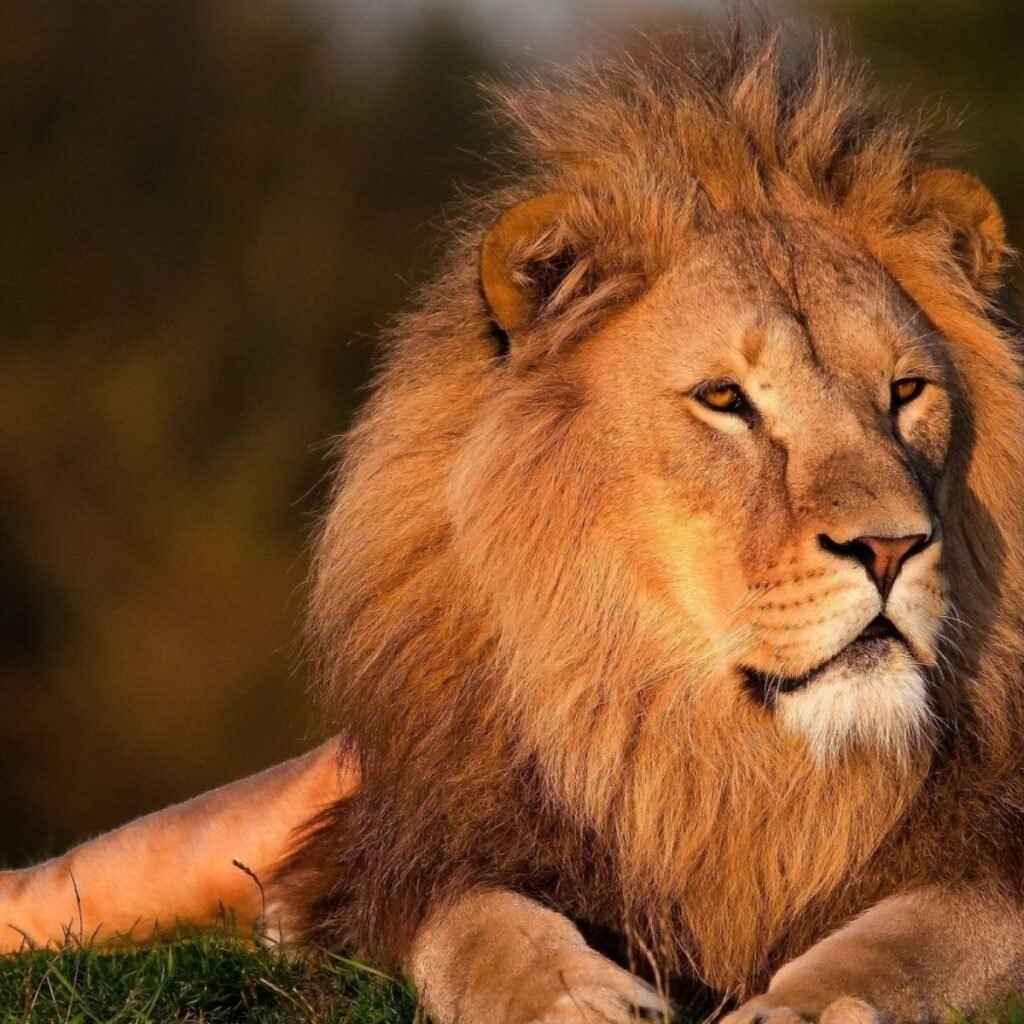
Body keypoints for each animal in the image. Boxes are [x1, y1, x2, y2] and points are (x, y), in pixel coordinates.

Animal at [4, 28, 1024, 1024]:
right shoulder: (441, 852)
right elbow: (485, 928)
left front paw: (799, 1009)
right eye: (725, 400)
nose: (891, 547)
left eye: (906, 391)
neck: (722, 757)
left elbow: (908, 940)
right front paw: (570, 1000)